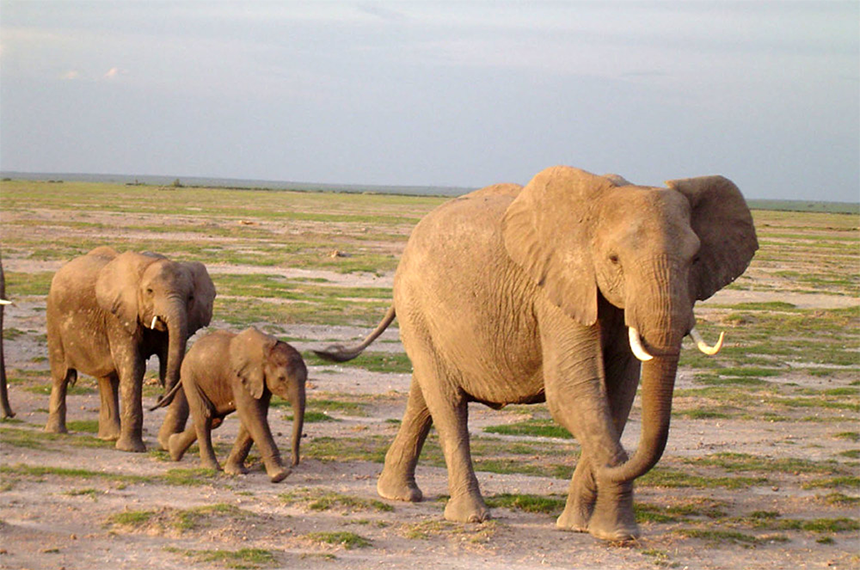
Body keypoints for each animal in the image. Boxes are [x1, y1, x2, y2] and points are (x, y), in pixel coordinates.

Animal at [45, 246, 216, 452]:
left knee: (108, 379)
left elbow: (171, 365)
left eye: (190, 297)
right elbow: (133, 367)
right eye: (150, 291)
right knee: (60, 375)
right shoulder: (119, 317)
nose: (159, 398)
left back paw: (110, 437)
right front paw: (131, 449)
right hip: (54, 319)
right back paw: (57, 431)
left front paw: (166, 444)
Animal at [156, 327, 306, 483]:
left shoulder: (259, 382)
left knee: (215, 418)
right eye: (282, 378)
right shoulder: (240, 378)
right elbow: (252, 415)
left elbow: (254, 417)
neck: (266, 351)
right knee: (205, 416)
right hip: (190, 376)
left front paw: (235, 471)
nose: (294, 463)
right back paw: (210, 467)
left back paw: (173, 447)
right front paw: (281, 475)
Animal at [315, 166, 758, 541]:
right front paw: (617, 535)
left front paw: (585, 527)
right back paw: (471, 516)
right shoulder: (556, 290)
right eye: (614, 259)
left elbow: (616, 398)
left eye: (695, 259)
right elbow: (573, 393)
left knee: (423, 394)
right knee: (448, 401)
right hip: (415, 303)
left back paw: (397, 494)